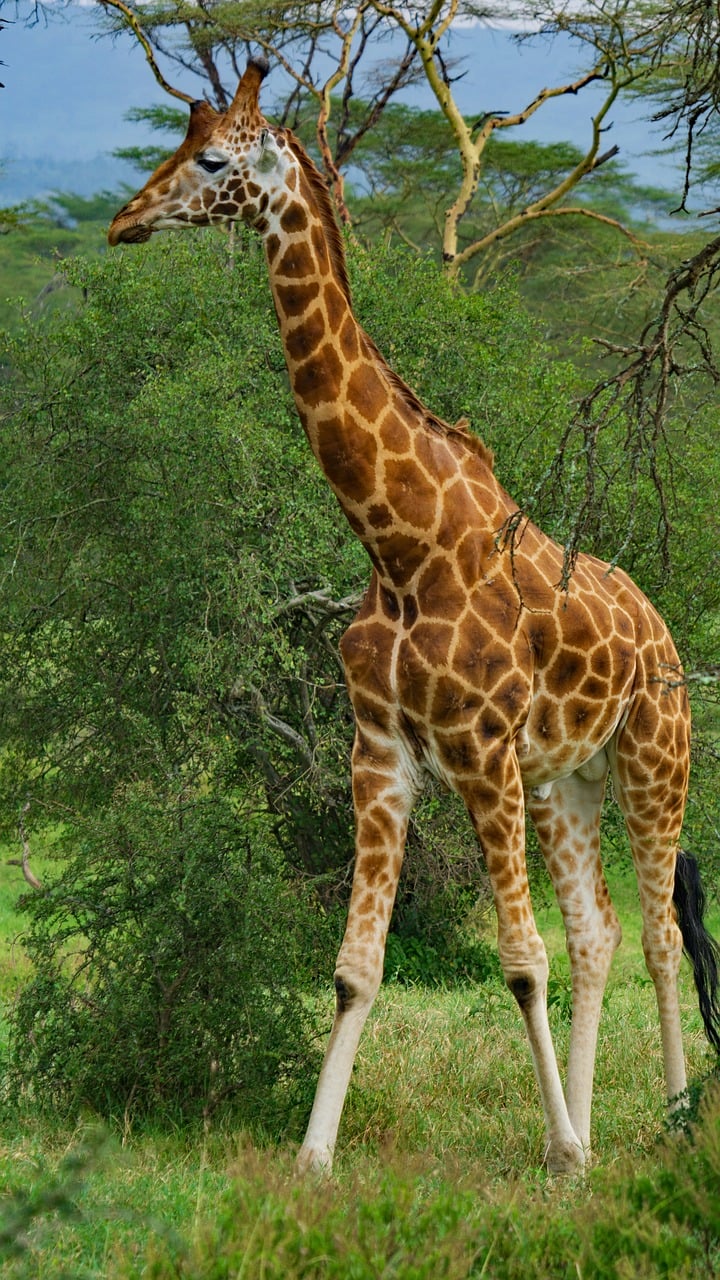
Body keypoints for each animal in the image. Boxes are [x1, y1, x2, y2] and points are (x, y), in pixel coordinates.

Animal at [108, 56, 720, 1176]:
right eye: (177, 142)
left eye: (213, 159)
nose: (125, 221)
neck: (399, 545)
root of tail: (659, 629)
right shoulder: (381, 752)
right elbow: (357, 966)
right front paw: (315, 1157)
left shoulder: (477, 748)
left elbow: (518, 960)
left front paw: (557, 1154)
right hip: (566, 782)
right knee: (602, 931)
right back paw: (599, 1126)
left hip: (657, 756)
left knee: (659, 931)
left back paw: (672, 1116)